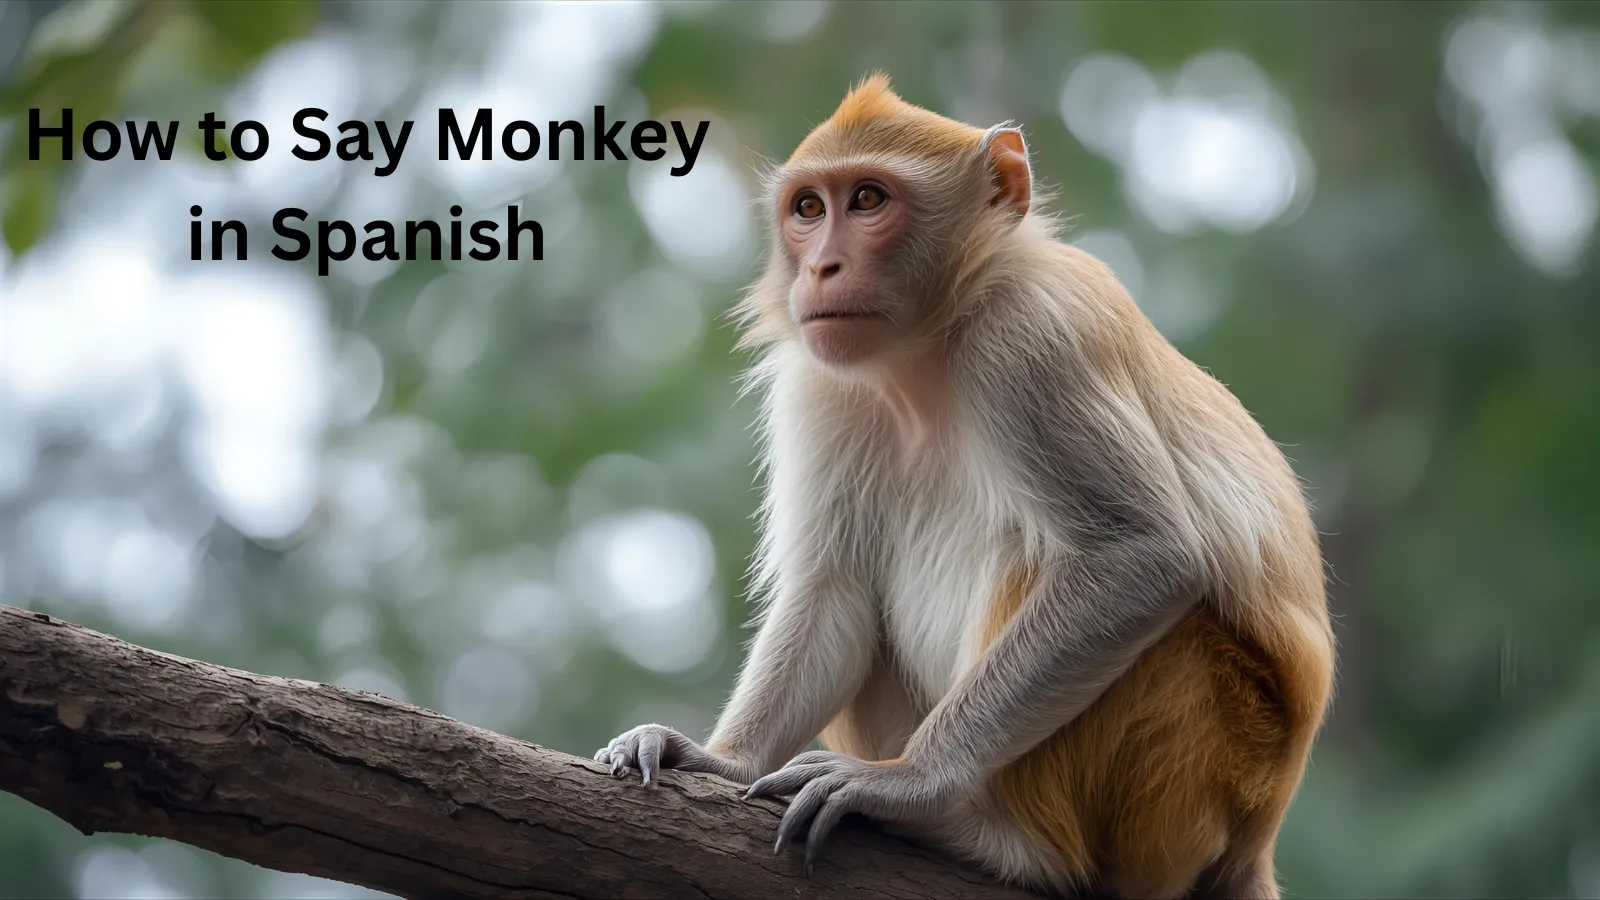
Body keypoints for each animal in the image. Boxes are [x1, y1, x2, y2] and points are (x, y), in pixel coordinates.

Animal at [596, 74, 1335, 900]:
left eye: (867, 200)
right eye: (809, 209)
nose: (820, 268)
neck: (927, 354)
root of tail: (1253, 841)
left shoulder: (1032, 337)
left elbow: (1143, 556)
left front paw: (908, 782)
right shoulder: (823, 387)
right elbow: (833, 587)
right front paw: (724, 760)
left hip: (1204, 758)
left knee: (1050, 556)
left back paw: (1000, 839)